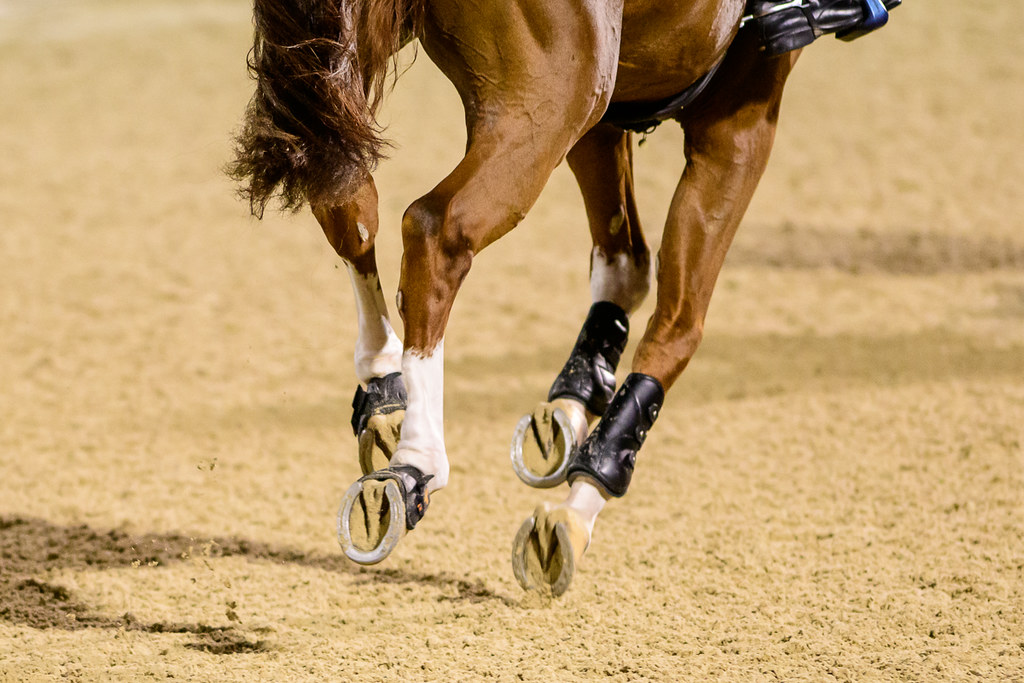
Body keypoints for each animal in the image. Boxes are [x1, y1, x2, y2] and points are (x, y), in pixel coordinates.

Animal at [230, 0, 802, 596]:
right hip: (547, 105)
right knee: (434, 230)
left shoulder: (608, 116)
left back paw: (384, 395)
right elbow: (679, 324)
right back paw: (417, 463)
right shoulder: (738, 120)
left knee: (346, 196)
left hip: (357, 58)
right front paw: (580, 502)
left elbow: (625, 266)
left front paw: (572, 404)